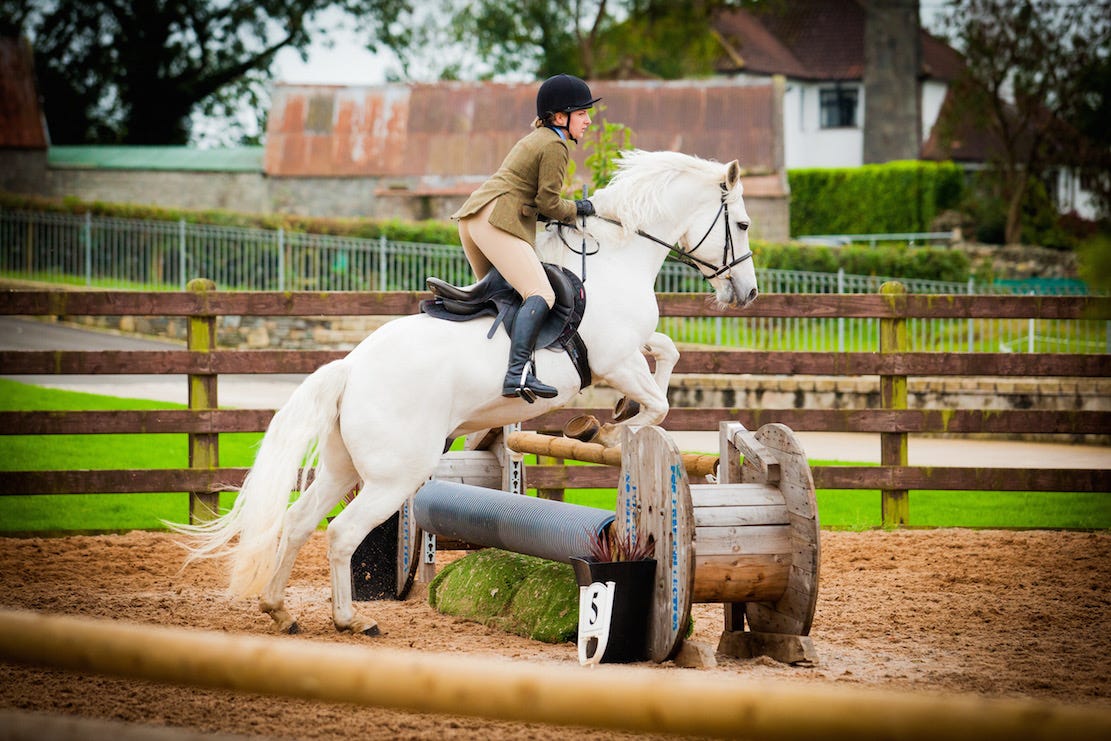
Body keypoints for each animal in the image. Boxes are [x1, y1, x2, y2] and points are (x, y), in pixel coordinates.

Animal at [173, 149, 759, 636]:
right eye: (743, 224)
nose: (749, 293)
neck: (614, 257)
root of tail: (351, 369)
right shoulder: (615, 359)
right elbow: (658, 401)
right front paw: (613, 429)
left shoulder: (629, 352)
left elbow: (667, 352)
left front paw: (613, 417)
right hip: (395, 475)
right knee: (341, 534)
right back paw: (351, 620)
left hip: (345, 467)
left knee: (298, 523)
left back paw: (280, 610)